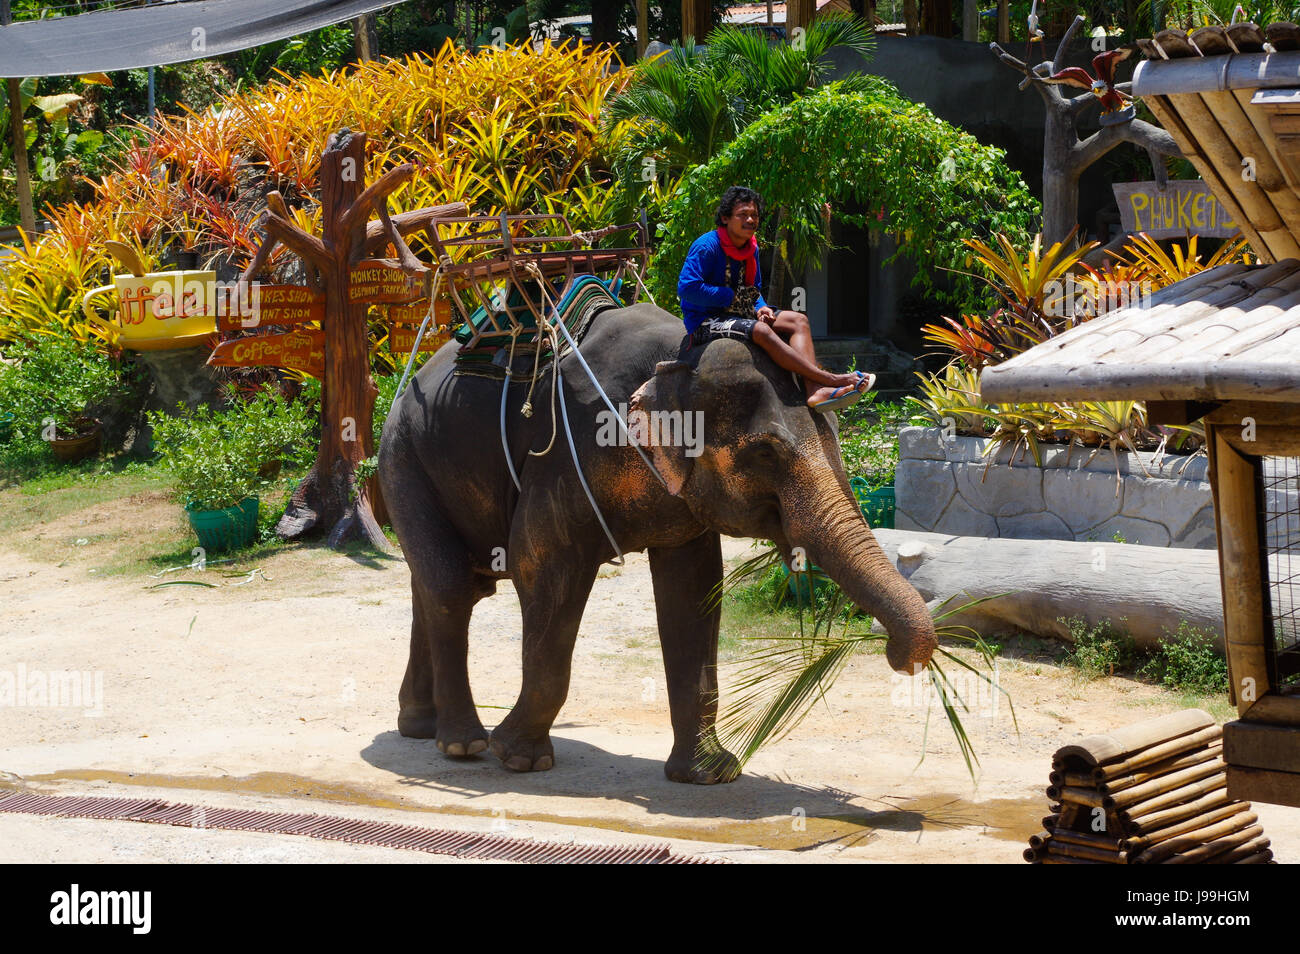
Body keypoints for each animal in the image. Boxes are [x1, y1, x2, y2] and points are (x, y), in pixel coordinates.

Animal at [377, 301, 937, 783]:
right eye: (765, 452)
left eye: (837, 434)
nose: (895, 655)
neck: (678, 357)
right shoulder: (562, 456)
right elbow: (541, 565)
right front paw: (517, 758)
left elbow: (693, 590)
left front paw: (709, 774)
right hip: (402, 457)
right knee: (450, 585)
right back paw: (464, 743)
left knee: (442, 584)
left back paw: (421, 727)